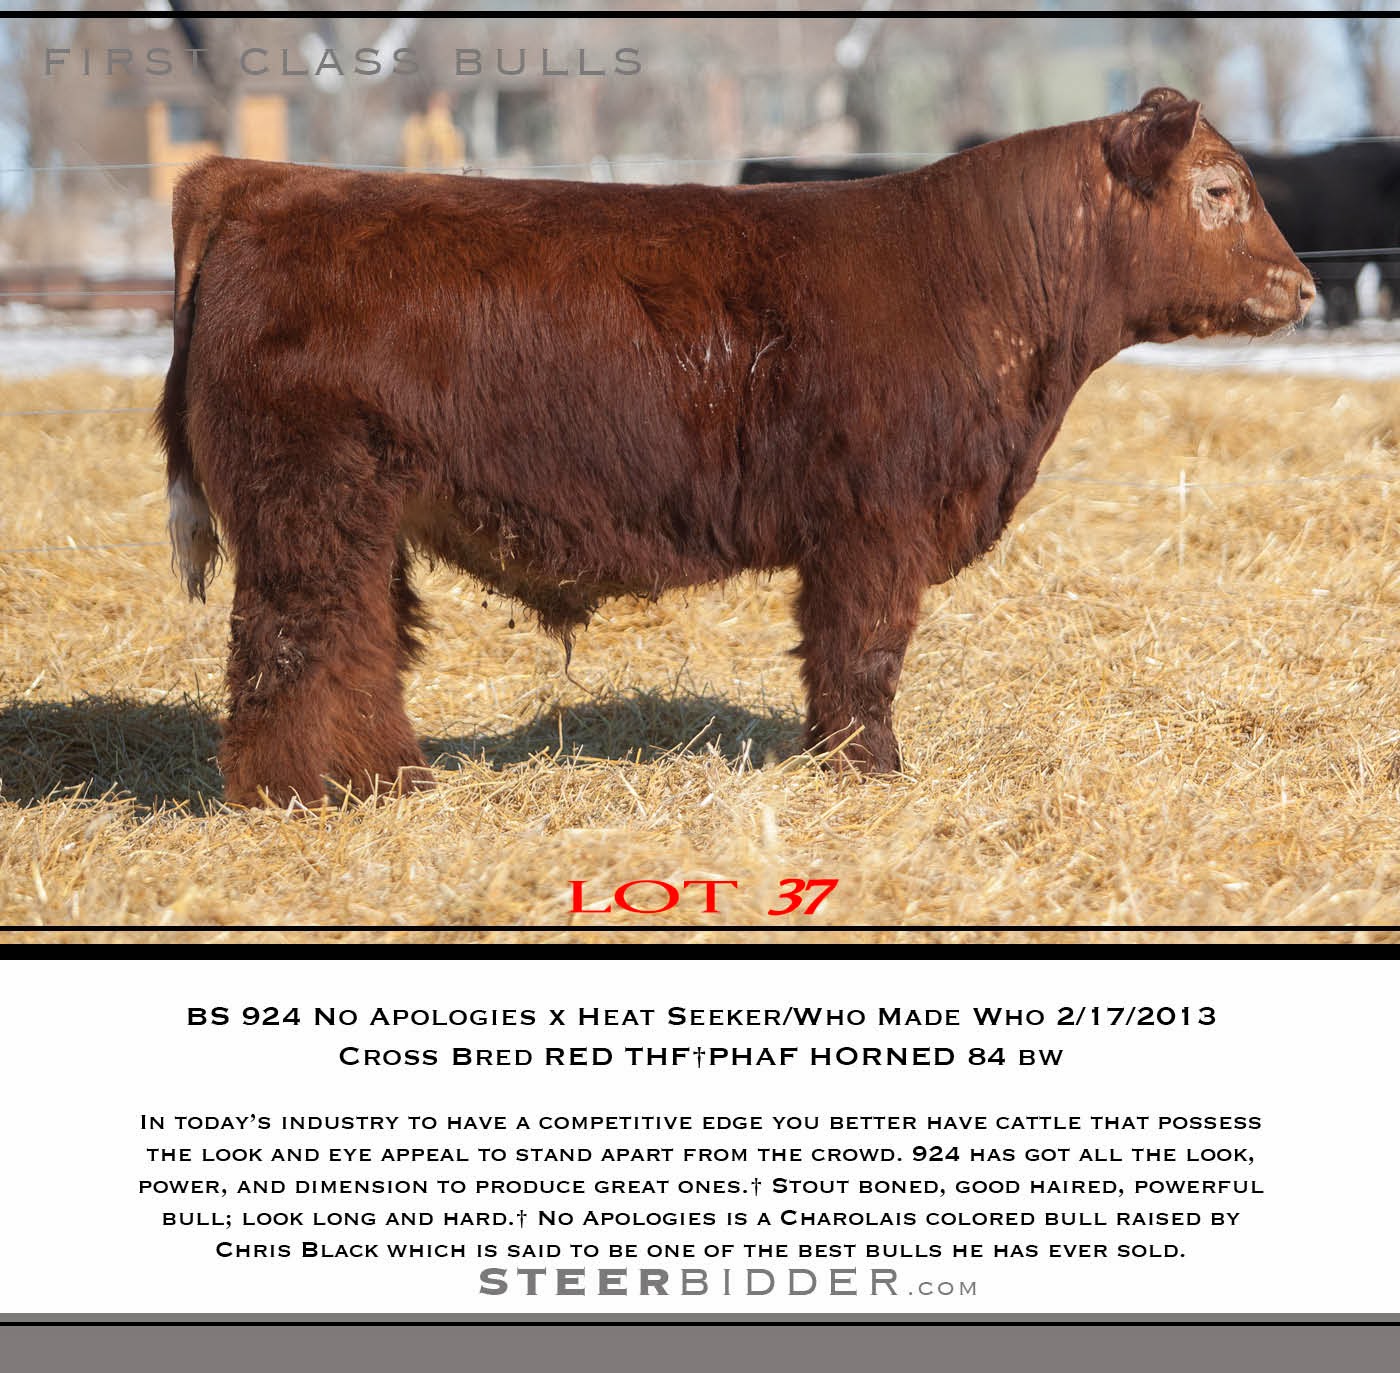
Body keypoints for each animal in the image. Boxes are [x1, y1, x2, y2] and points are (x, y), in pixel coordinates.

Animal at [159, 88, 1313, 807]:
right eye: (1220, 189)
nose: (1300, 286)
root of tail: (261, 180)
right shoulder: (874, 526)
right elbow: (861, 656)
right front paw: (870, 773)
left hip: (353, 522)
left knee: (353, 646)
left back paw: (378, 778)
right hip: (309, 504)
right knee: (296, 647)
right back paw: (316, 792)